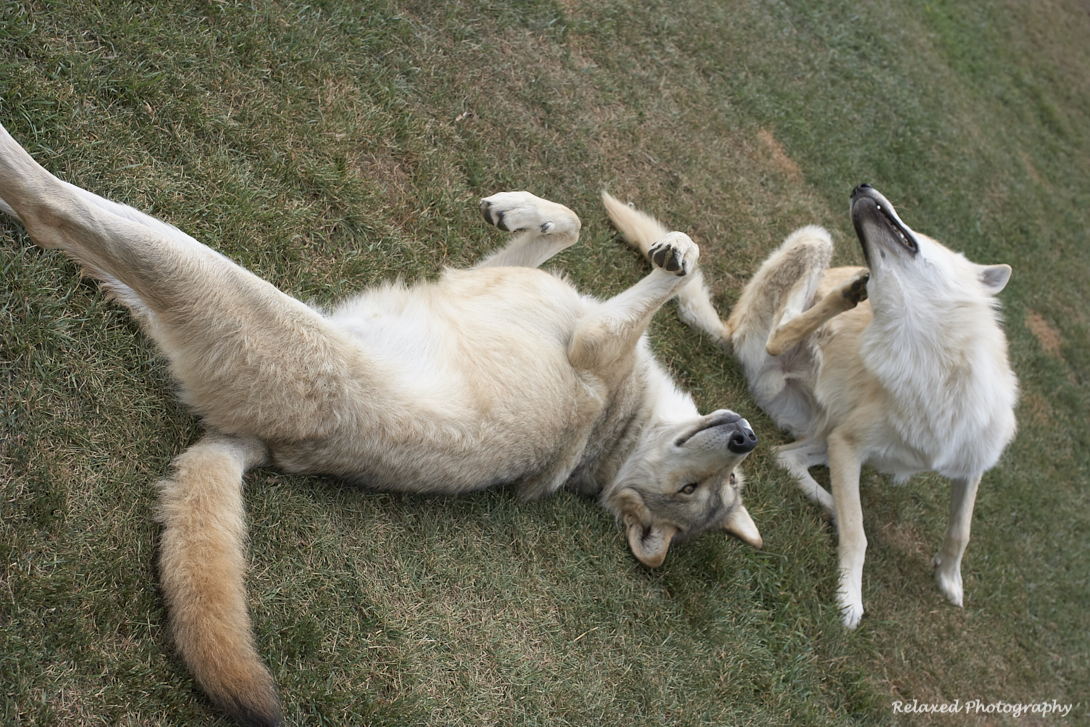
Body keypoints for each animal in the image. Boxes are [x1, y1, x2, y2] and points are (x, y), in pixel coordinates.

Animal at [0, 122, 762, 726]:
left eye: (696, 495)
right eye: (720, 486)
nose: (747, 436)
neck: (622, 428)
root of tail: (262, 448)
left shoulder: (595, 339)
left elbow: (651, 279)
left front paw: (675, 255)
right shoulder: (492, 278)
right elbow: (572, 222)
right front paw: (522, 210)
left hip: (194, 268)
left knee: (52, 206)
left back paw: (15, 154)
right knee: (59, 230)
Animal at [604, 185, 1018, 629]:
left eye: (923, 235)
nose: (861, 187)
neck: (929, 357)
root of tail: (732, 329)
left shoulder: (970, 461)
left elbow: (961, 529)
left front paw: (949, 579)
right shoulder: (848, 443)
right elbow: (857, 531)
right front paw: (849, 597)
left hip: (825, 428)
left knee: (790, 457)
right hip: (816, 244)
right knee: (781, 339)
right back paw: (844, 297)